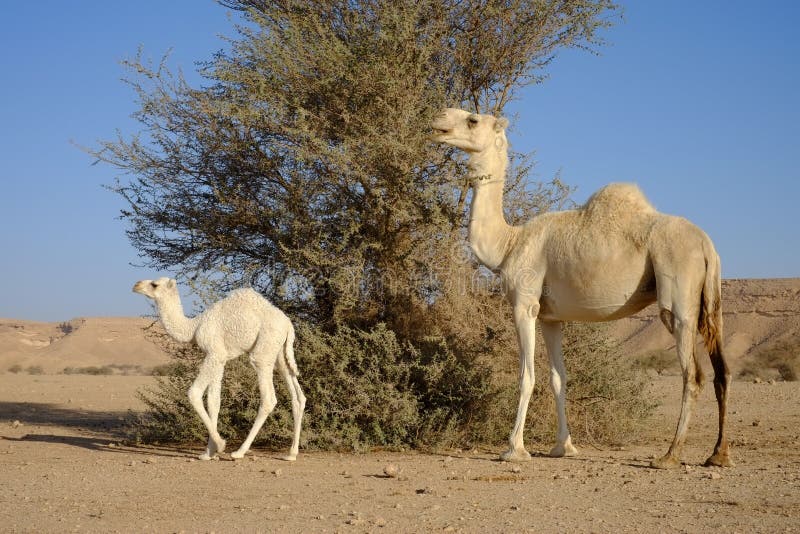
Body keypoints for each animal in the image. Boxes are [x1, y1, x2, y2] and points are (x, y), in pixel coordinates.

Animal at [133, 277, 306, 461]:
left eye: (154, 284)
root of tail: (289, 325)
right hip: (280, 352)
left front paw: (220, 445)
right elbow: (214, 402)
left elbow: (194, 393)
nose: (136, 285)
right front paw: (208, 453)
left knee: (268, 398)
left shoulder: (214, 353)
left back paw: (239, 452)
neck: (194, 326)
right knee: (297, 394)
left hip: (263, 350)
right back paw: (291, 454)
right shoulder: (220, 359)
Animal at [431, 108, 731, 469]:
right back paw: (718, 455)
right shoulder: (550, 317)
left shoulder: (524, 304)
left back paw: (669, 455)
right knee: (722, 371)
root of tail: (706, 245)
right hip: (709, 302)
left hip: (678, 298)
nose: (438, 120)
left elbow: (526, 377)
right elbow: (558, 378)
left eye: (472, 120)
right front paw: (564, 446)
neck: (508, 244)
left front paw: (514, 449)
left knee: (692, 374)